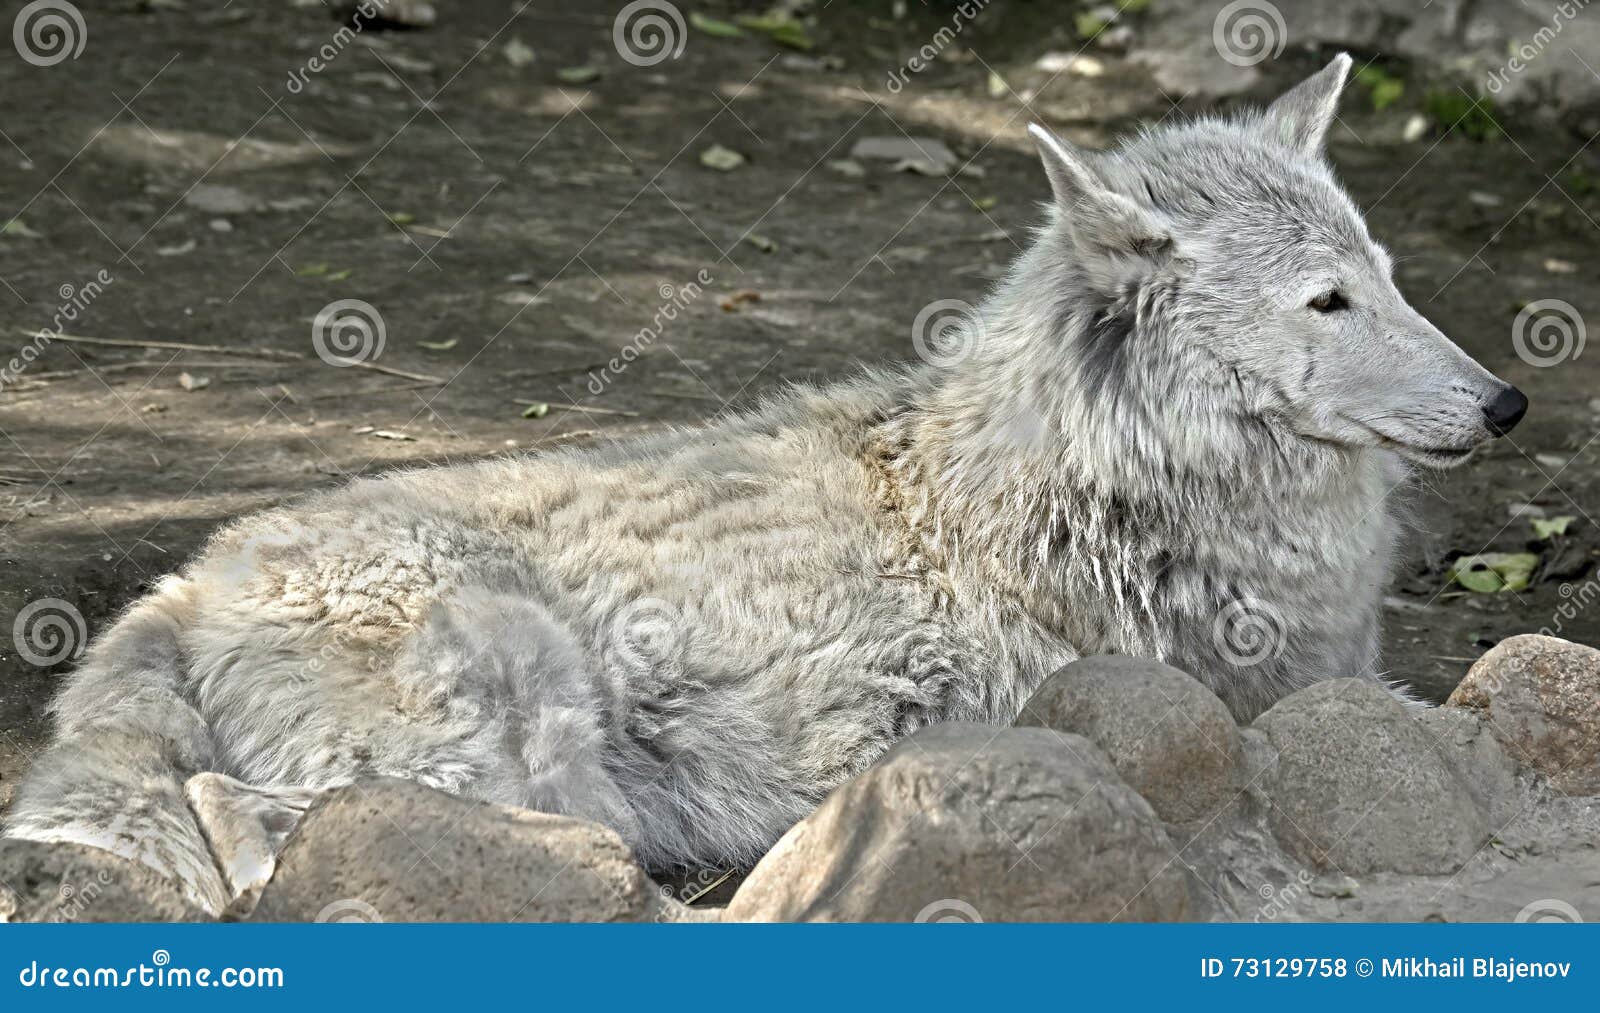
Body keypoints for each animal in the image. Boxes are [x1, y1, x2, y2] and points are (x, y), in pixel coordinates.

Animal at [5, 56, 1526, 915]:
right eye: (1327, 302)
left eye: (1389, 277)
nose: (1507, 402)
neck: (1113, 472)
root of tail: (179, 584)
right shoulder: (1224, 698)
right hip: (518, 707)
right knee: (291, 844)